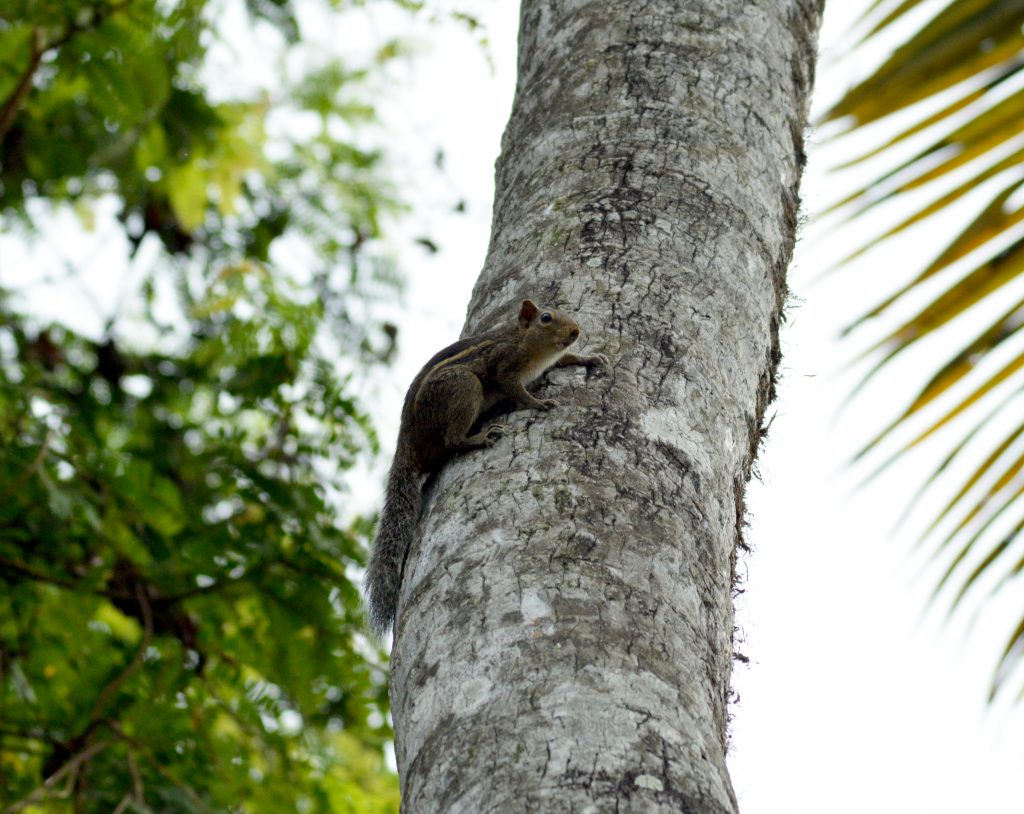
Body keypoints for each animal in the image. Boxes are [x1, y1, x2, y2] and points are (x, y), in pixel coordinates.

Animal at [365, 299, 608, 636]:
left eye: (569, 316)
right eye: (546, 318)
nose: (575, 332)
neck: (529, 344)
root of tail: (408, 441)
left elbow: (566, 359)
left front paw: (588, 357)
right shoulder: (503, 365)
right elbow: (515, 390)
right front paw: (538, 403)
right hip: (463, 387)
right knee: (452, 440)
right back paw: (478, 438)